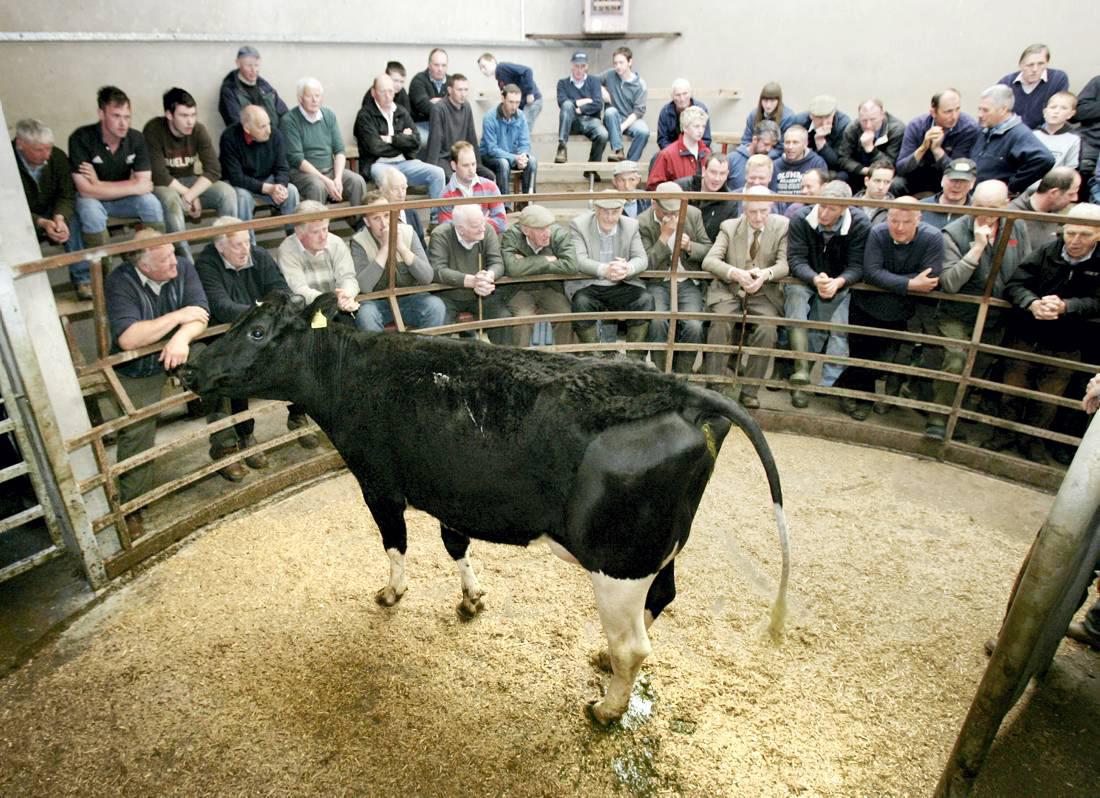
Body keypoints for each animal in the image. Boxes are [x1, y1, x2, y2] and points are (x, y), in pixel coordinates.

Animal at [180, 290, 790, 725]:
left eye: (258, 330)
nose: (188, 369)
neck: (353, 372)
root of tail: (679, 390)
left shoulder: (378, 482)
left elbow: (394, 541)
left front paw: (392, 593)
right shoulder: (454, 491)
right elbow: (455, 543)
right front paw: (472, 598)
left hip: (616, 561)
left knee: (633, 646)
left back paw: (606, 708)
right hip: (659, 549)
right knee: (662, 600)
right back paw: (602, 665)